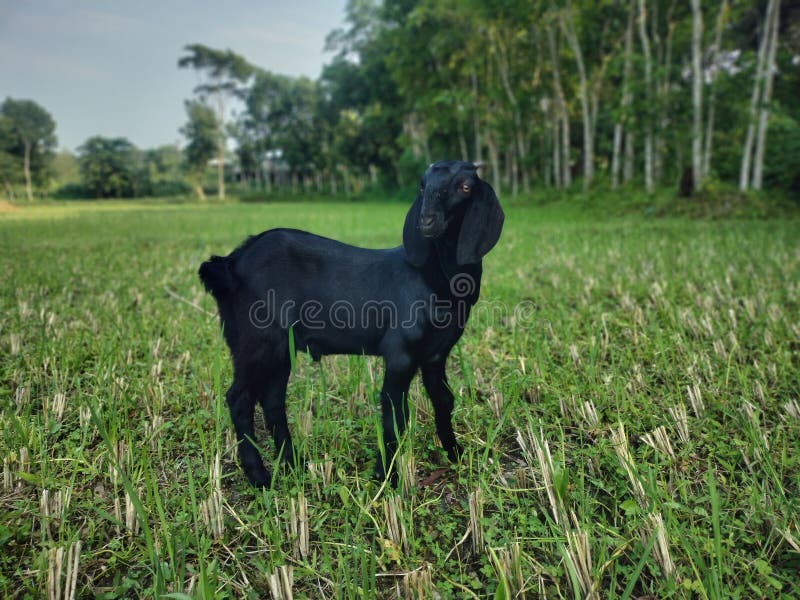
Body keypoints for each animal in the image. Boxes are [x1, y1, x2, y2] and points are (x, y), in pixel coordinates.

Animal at [199, 160, 504, 487]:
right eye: (423, 185)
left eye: (465, 186)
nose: (426, 221)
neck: (436, 278)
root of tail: (231, 263)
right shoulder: (400, 352)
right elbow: (395, 414)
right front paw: (387, 478)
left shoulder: (435, 354)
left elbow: (443, 400)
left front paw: (456, 455)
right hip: (255, 340)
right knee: (240, 399)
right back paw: (259, 477)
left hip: (280, 348)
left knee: (272, 400)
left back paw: (294, 464)